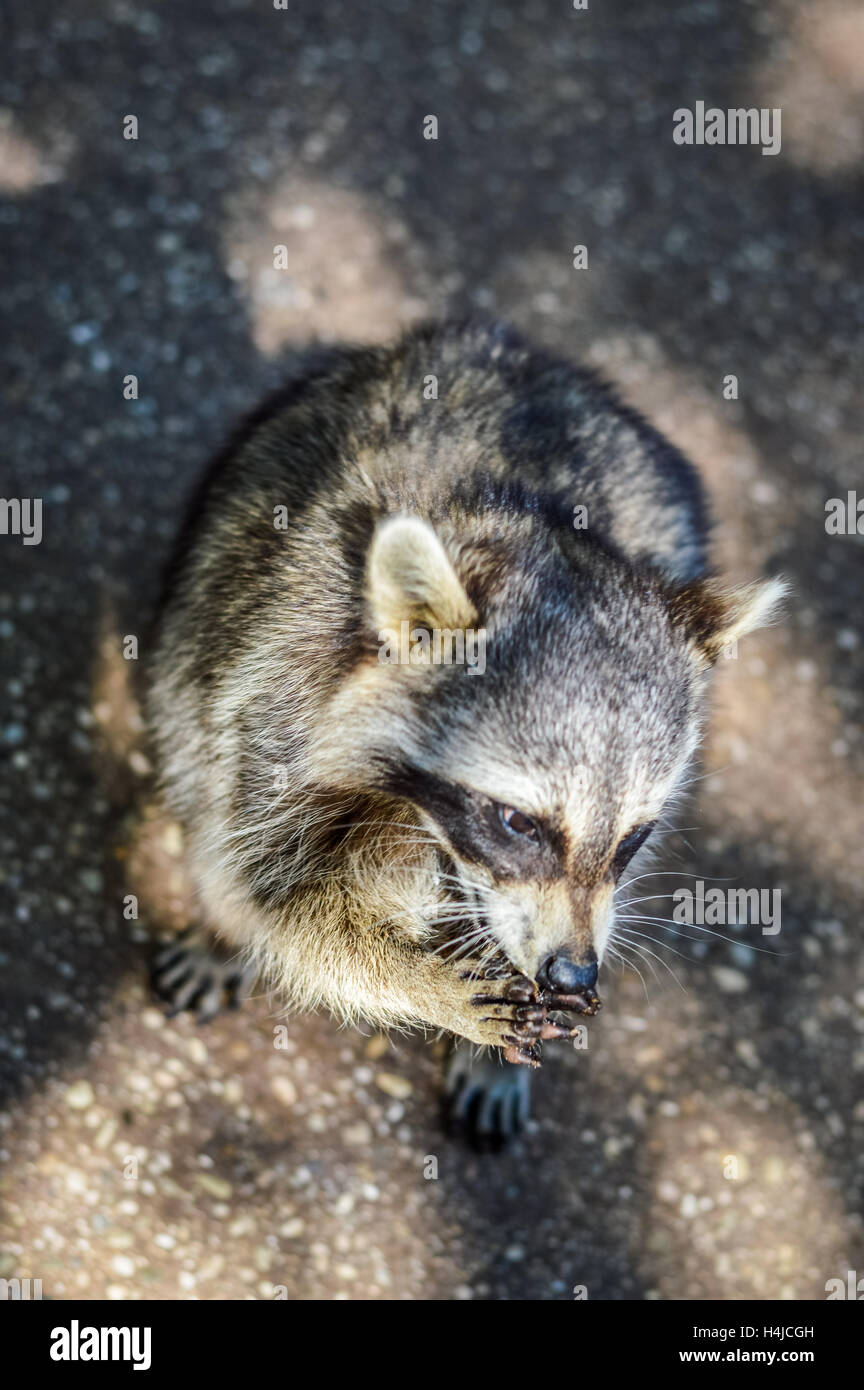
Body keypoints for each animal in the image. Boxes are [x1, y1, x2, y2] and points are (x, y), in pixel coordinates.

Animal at [147, 320, 783, 1140]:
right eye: (518, 822)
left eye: (634, 836)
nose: (572, 970)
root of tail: (512, 348)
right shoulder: (273, 692)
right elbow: (272, 892)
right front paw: (423, 980)